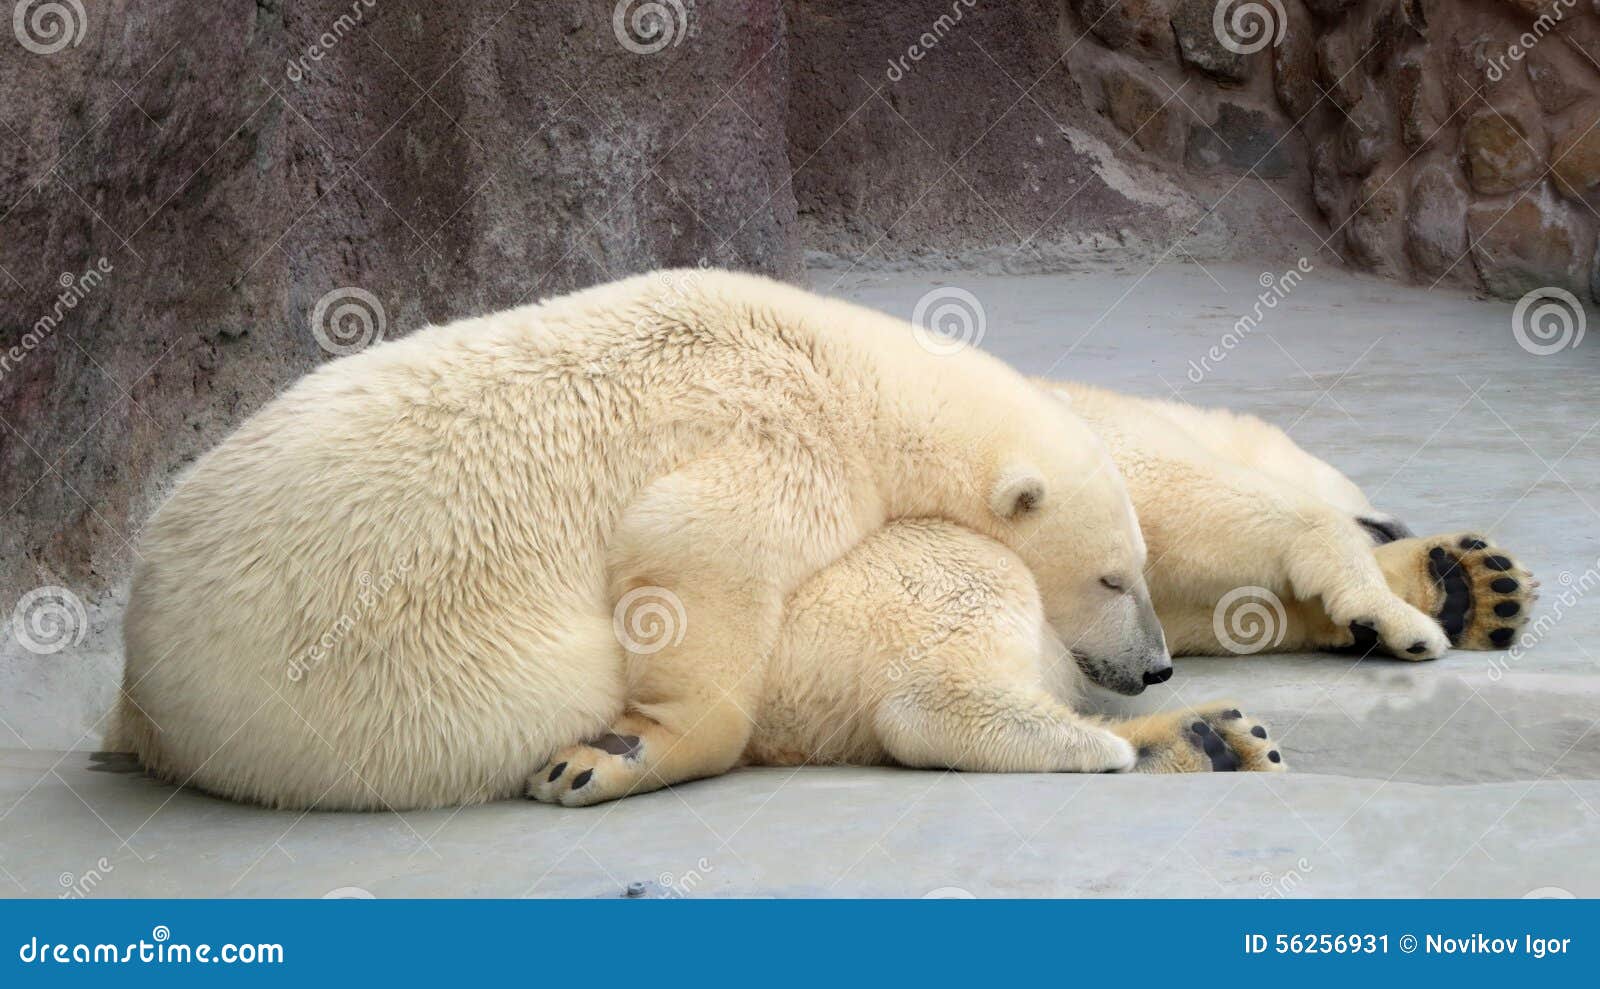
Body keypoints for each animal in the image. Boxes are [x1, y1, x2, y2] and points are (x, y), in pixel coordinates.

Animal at [113, 268, 1177, 811]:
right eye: (1113, 578)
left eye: (1140, 570)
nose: (1158, 666)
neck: (847, 369)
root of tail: (142, 694)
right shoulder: (780, 439)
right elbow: (694, 558)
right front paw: (612, 754)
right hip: (405, 676)